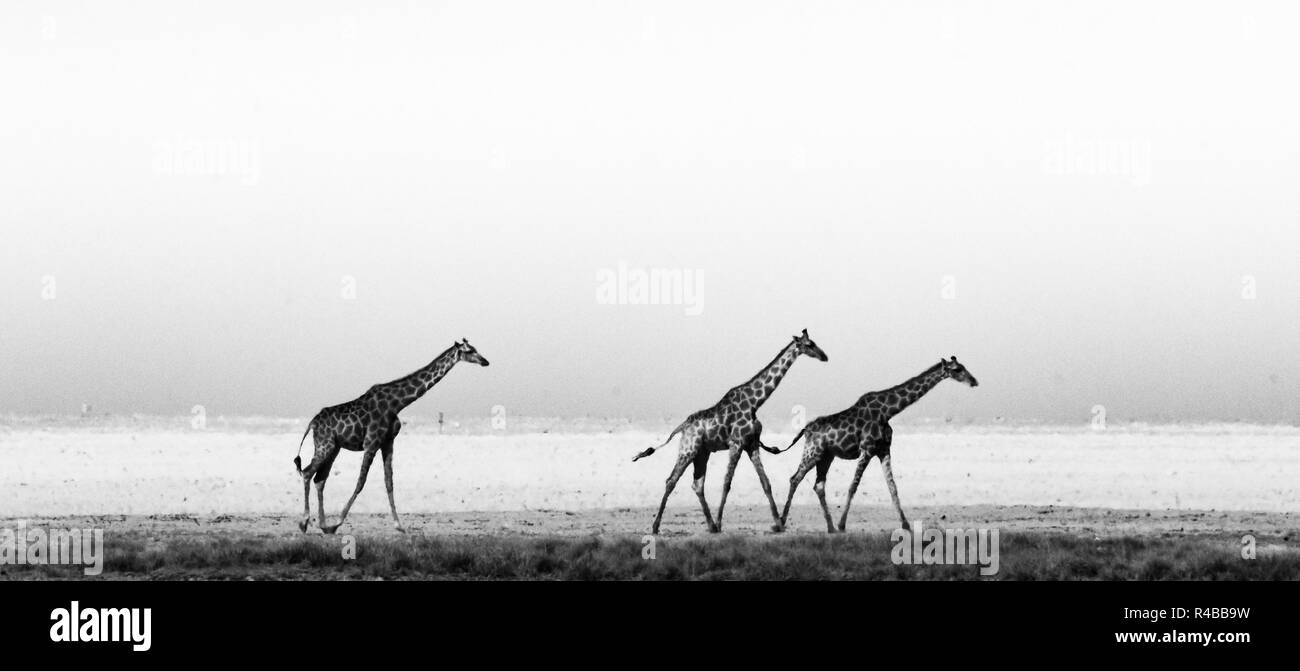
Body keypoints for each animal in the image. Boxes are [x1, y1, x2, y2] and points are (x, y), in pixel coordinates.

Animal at [293, 339, 490, 534]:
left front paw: (399, 525)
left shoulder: (388, 442)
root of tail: (312, 422)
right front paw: (338, 522)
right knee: (307, 472)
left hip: (334, 447)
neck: (397, 403)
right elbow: (361, 482)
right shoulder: (371, 443)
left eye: (475, 348)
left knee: (320, 479)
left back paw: (323, 525)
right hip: (324, 444)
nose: (485, 361)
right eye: (470, 350)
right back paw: (305, 523)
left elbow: (389, 482)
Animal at [633, 329, 829, 534]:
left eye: (814, 342)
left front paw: (779, 524)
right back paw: (656, 526)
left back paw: (710, 525)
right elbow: (727, 483)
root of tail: (682, 426)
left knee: (697, 485)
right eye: (809, 344)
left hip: (701, 453)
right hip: (689, 449)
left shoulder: (752, 444)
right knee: (671, 481)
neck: (754, 403)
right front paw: (721, 523)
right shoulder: (736, 443)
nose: (824, 356)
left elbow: (765, 482)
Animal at [776, 356, 978, 533]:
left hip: (826, 456)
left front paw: (906, 525)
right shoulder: (867, 450)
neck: (887, 412)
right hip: (813, 452)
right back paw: (781, 523)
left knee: (818, 486)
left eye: (964, 366)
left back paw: (830, 527)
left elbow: (893, 487)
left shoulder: (884, 450)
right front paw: (842, 525)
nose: (974, 381)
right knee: (795, 478)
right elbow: (853, 486)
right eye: (957, 369)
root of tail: (806, 429)